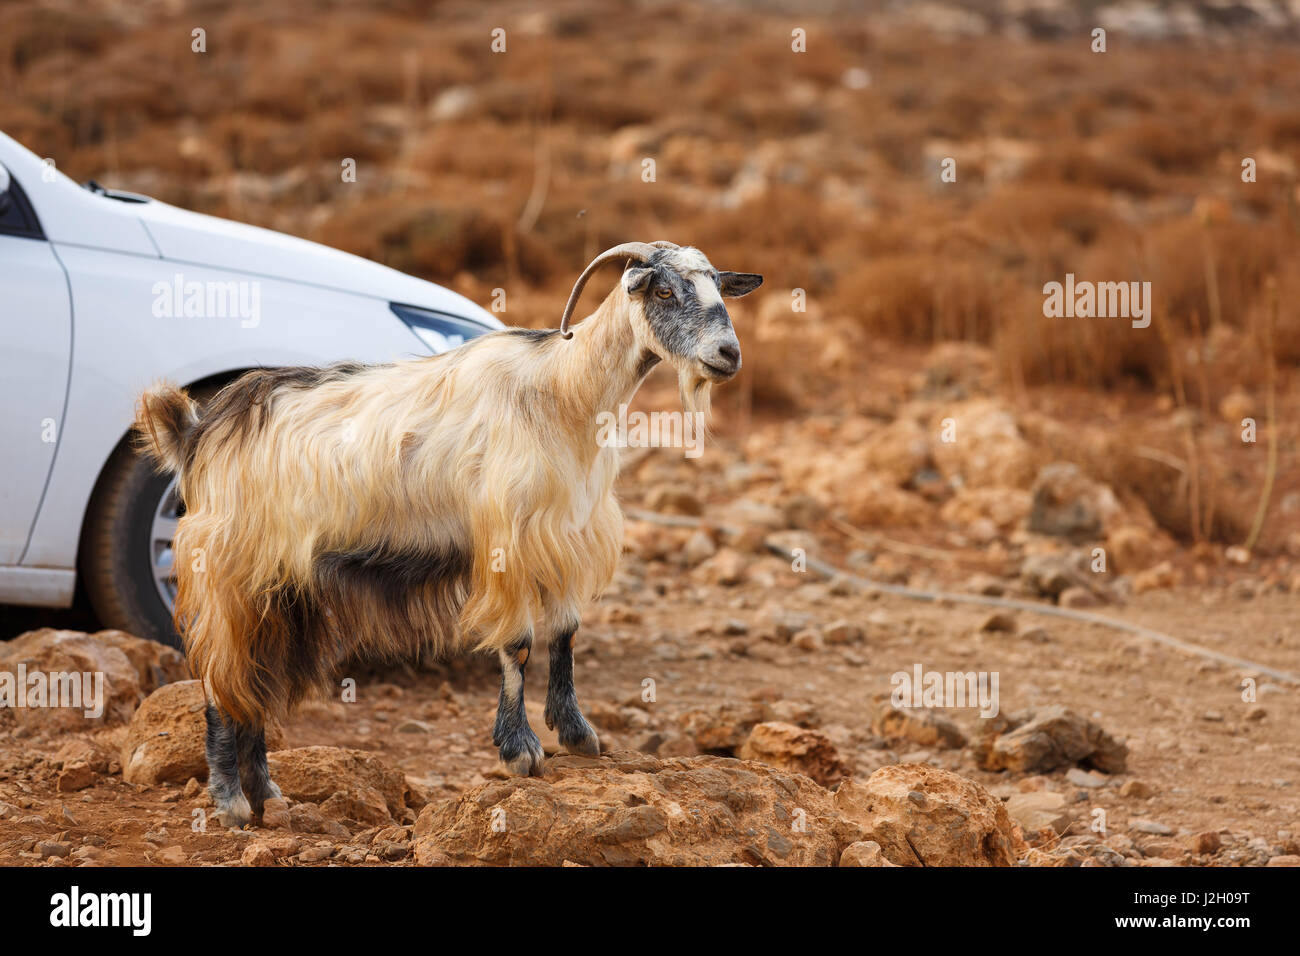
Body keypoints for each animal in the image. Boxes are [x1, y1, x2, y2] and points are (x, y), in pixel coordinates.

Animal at [133, 241, 762, 827]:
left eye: (719, 291)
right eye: (663, 291)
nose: (728, 355)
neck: (565, 393)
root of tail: (198, 432)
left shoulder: (565, 535)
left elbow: (564, 634)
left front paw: (578, 735)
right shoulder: (508, 541)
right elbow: (519, 644)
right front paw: (520, 752)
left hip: (282, 590)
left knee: (255, 680)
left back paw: (268, 795)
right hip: (226, 570)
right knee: (220, 679)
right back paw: (232, 803)